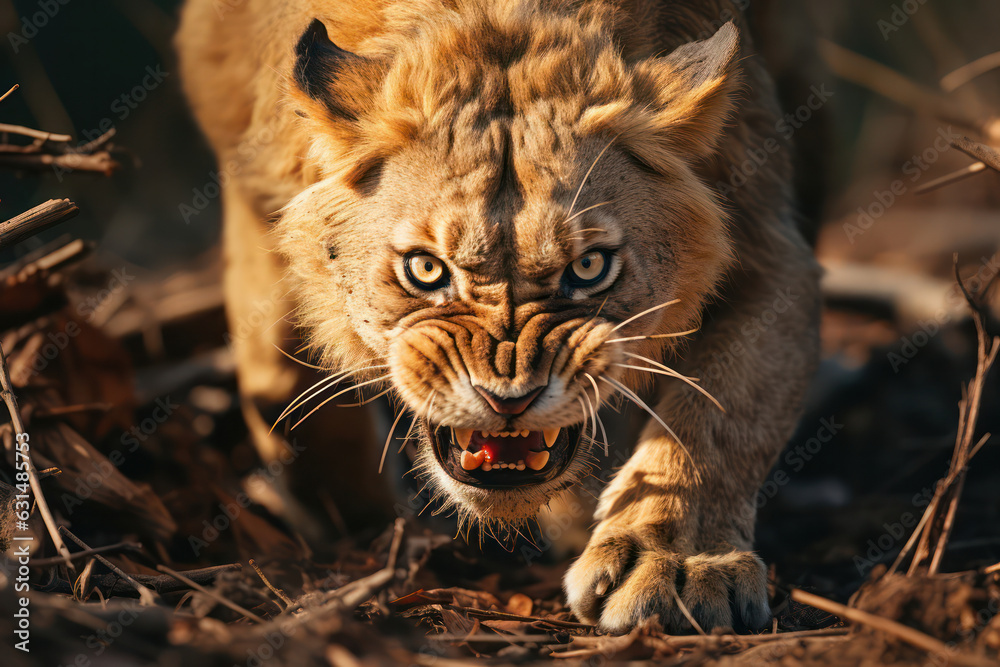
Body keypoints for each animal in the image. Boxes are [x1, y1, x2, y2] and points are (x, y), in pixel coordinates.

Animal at [177, 0, 821, 633]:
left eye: (588, 267)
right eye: (426, 270)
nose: (508, 400)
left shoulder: (769, 245)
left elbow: (717, 423)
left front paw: (678, 564)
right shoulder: (249, 177)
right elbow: (281, 365)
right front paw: (349, 520)